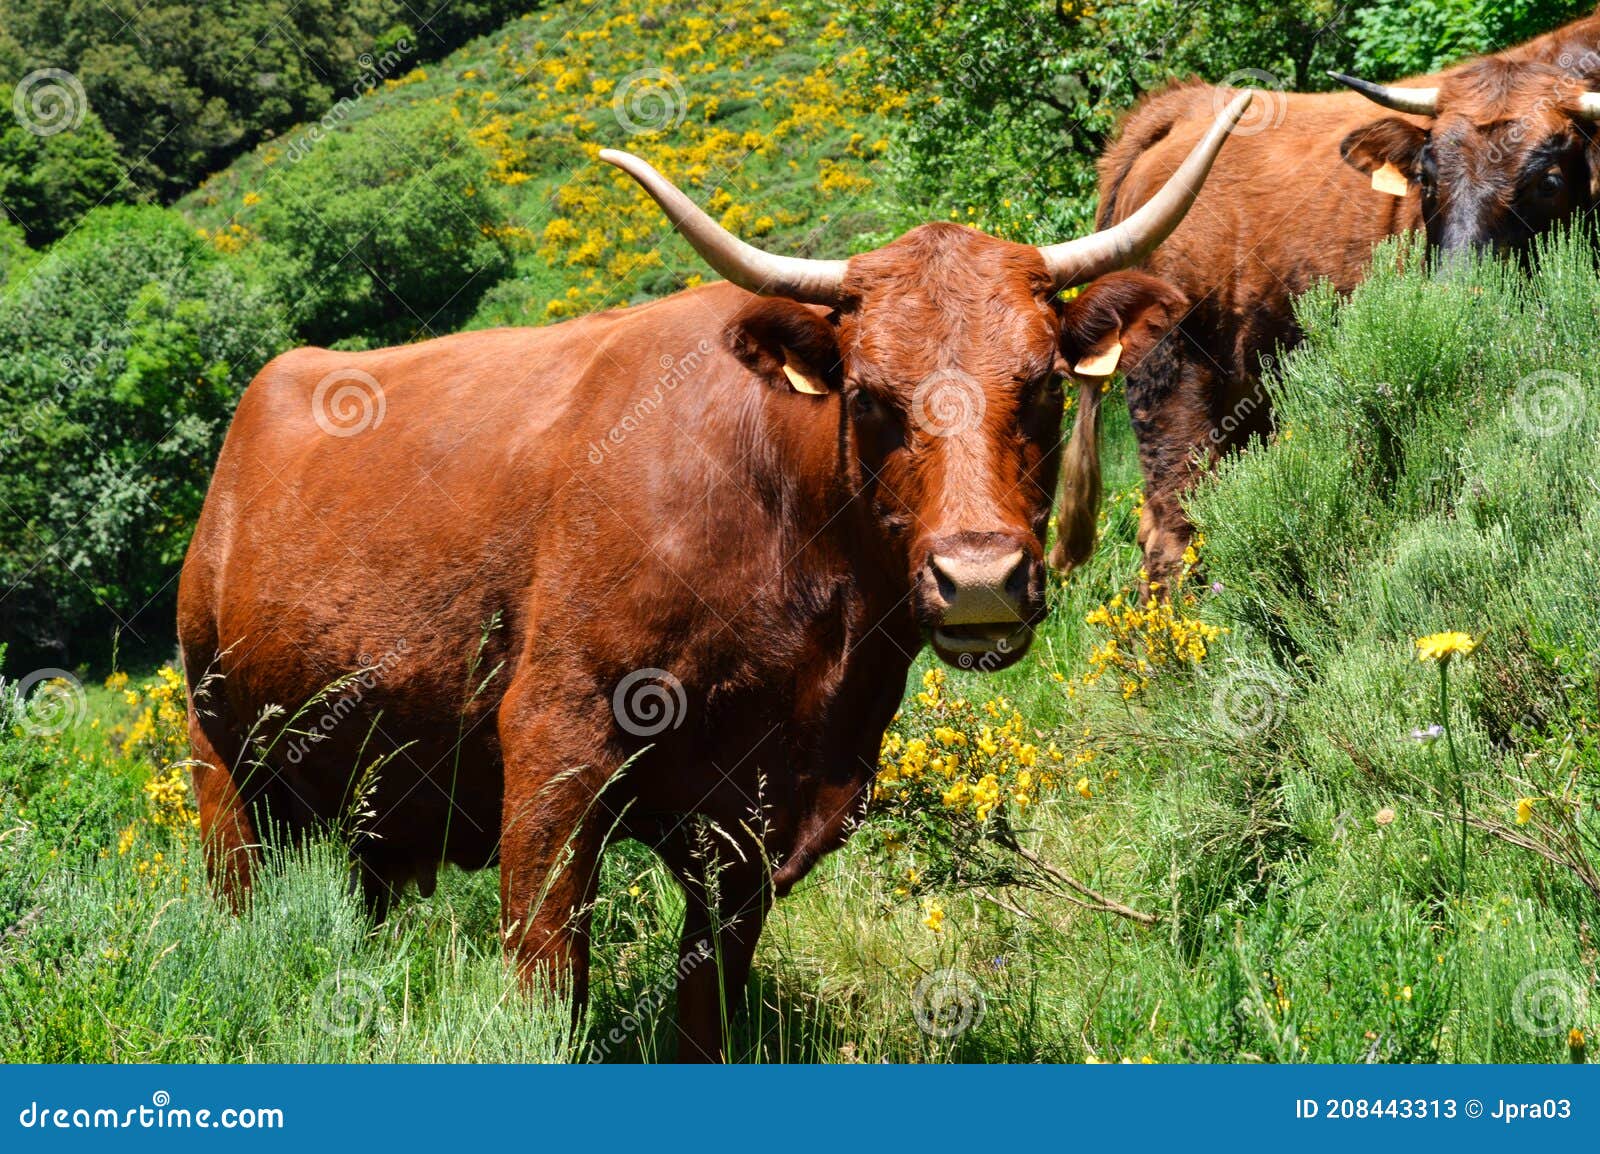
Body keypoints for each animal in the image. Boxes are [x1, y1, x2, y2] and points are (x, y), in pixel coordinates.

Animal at [176, 94, 1250, 1061]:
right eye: (870, 398)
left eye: (1041, 386)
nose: (979, 575)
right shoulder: (553, 748)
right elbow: (545, 984)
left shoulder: (757, 821)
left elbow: (707, 1006)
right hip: (221, 757)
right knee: (239, 901)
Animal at [1059, 12, 1600, 586]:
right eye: (1426, 178)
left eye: (1549, 182)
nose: (1453, 296)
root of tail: (1185, 106)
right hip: (1174, 379)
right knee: (1173, 530)